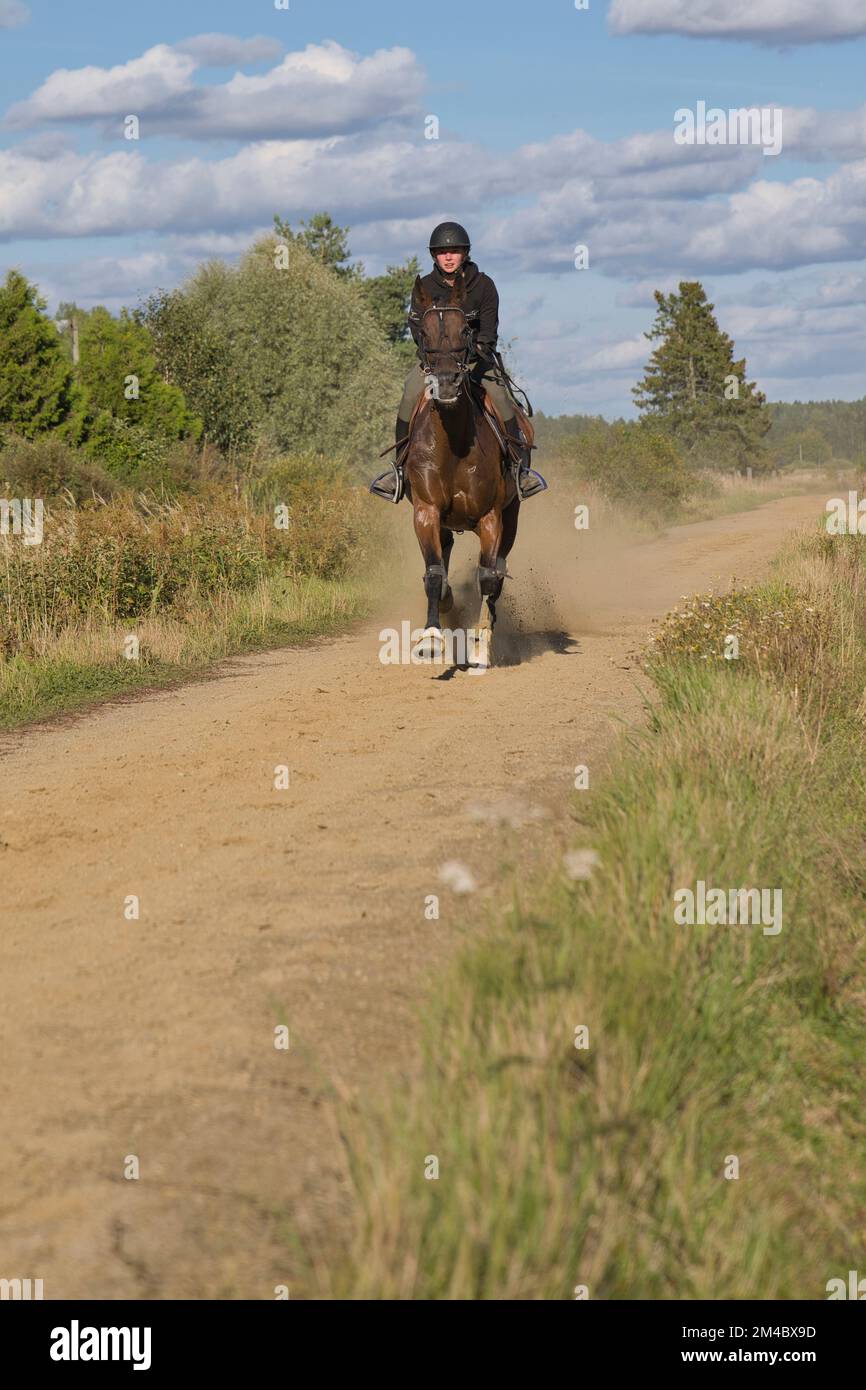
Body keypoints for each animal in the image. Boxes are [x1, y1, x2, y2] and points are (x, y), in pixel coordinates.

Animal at [401, 275, 527, 667]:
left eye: (465, 330)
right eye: (423, 331)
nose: (445, 384)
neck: (453, 443)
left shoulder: (491, 518)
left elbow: (488, 577)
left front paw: (481, 644)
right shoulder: (426, 512)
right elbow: (433, 574)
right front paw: (431, 636)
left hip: (511, 518)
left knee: (497, 572)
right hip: (445, 523)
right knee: (445, 556)